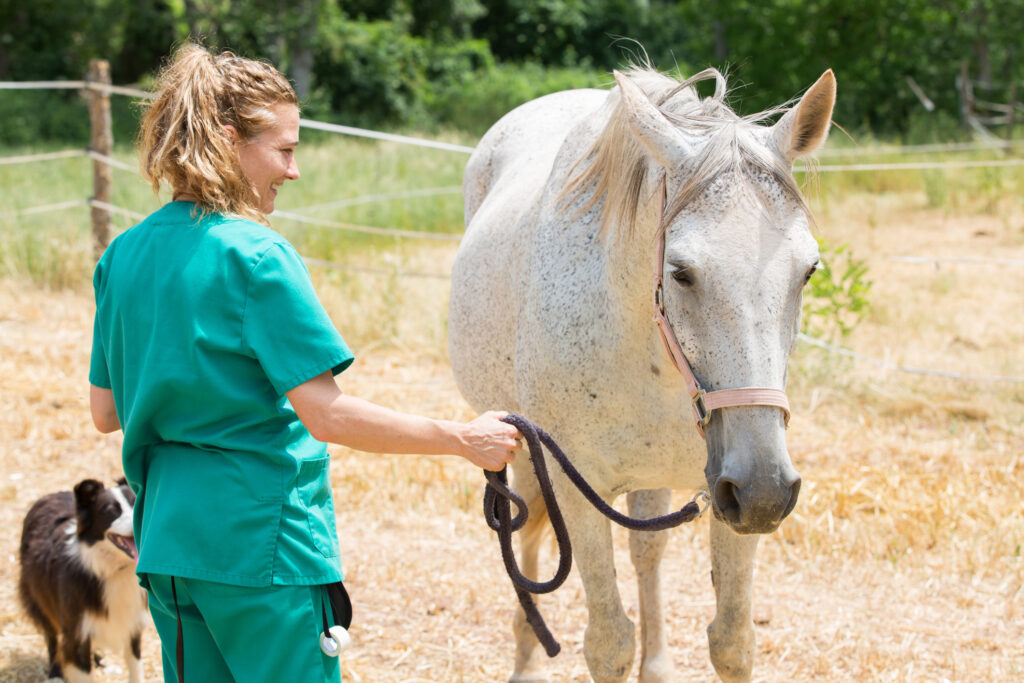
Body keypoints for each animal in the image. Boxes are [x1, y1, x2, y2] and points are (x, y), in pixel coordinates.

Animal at [448, 64, 835, 682]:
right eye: (681, 272)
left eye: (809, 270)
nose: (765, 490)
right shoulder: (576, 490)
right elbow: (608, 643)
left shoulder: (733, 498)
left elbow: (732, 641)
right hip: (517, 443)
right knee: (524, 536)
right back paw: (527, 661)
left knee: (646, 554)